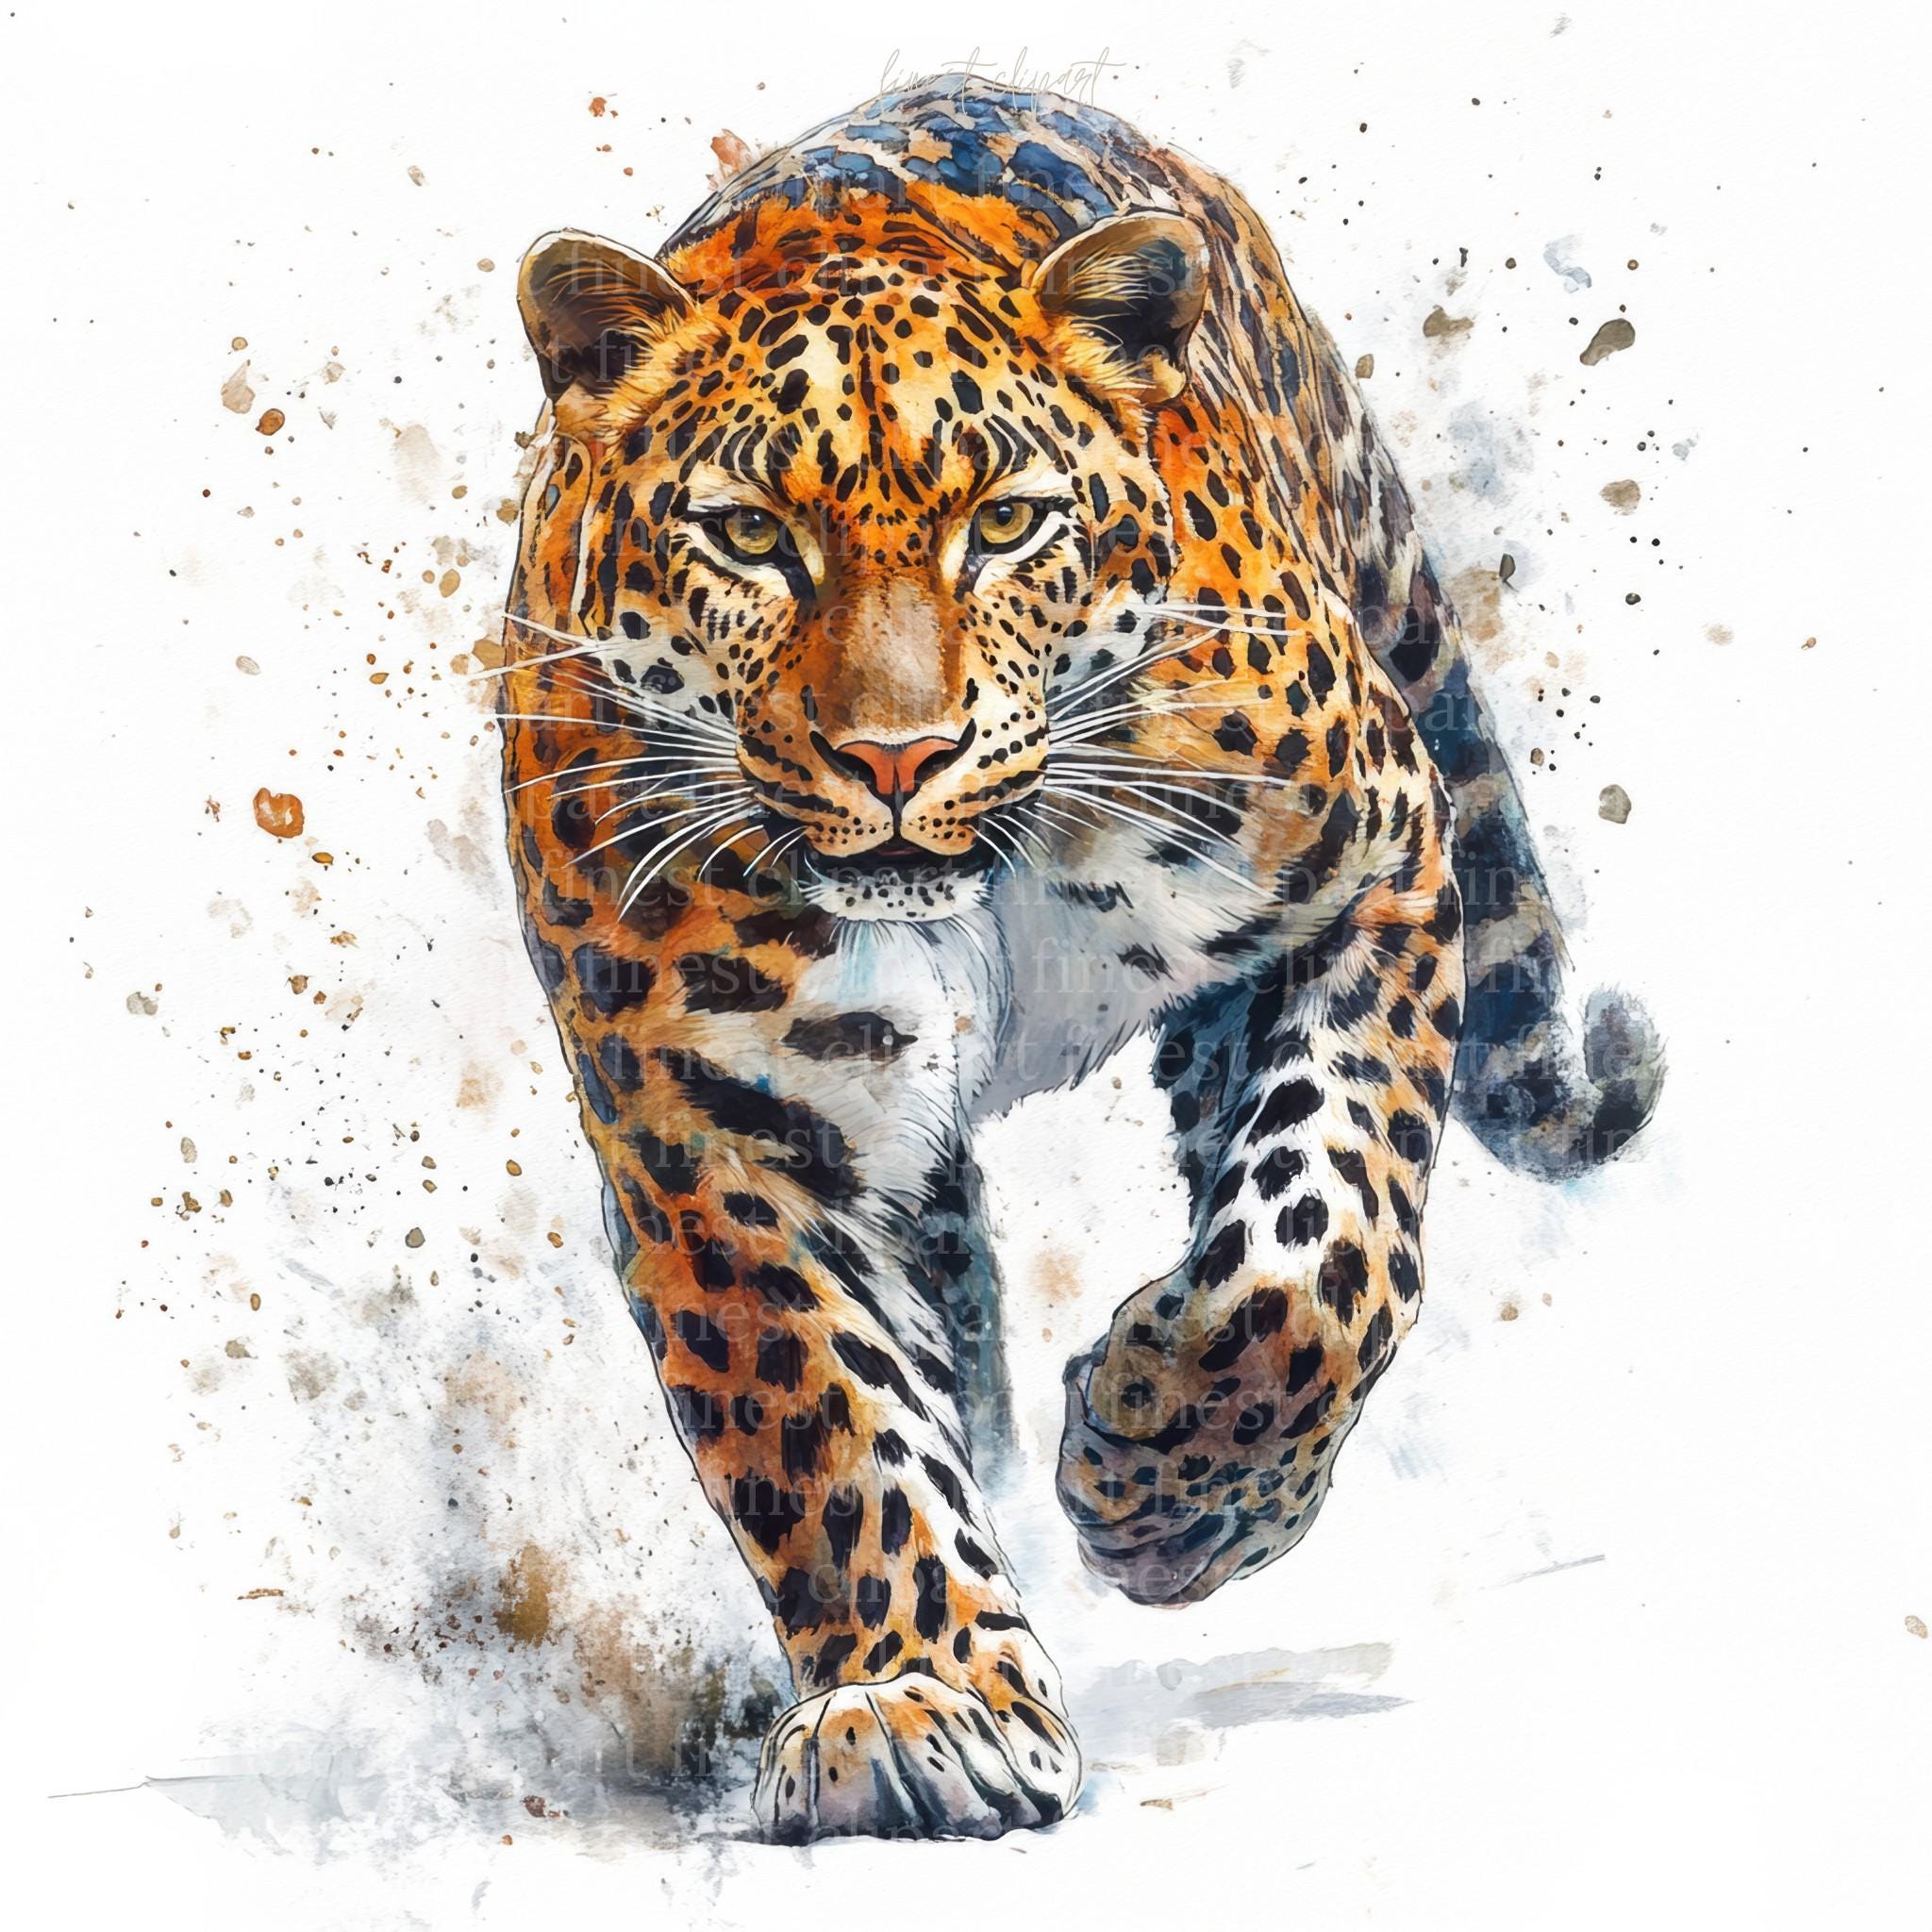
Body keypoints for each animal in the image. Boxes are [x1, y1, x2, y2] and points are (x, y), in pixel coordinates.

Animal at [494, 75, 1663, 1843]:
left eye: (1004, 525)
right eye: (751, 534)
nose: (892, 756)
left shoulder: (1376, 870)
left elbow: (1326, 1243)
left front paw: (1163, 1465)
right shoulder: (714, 1127)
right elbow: (824, 1419)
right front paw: (922, 1700)